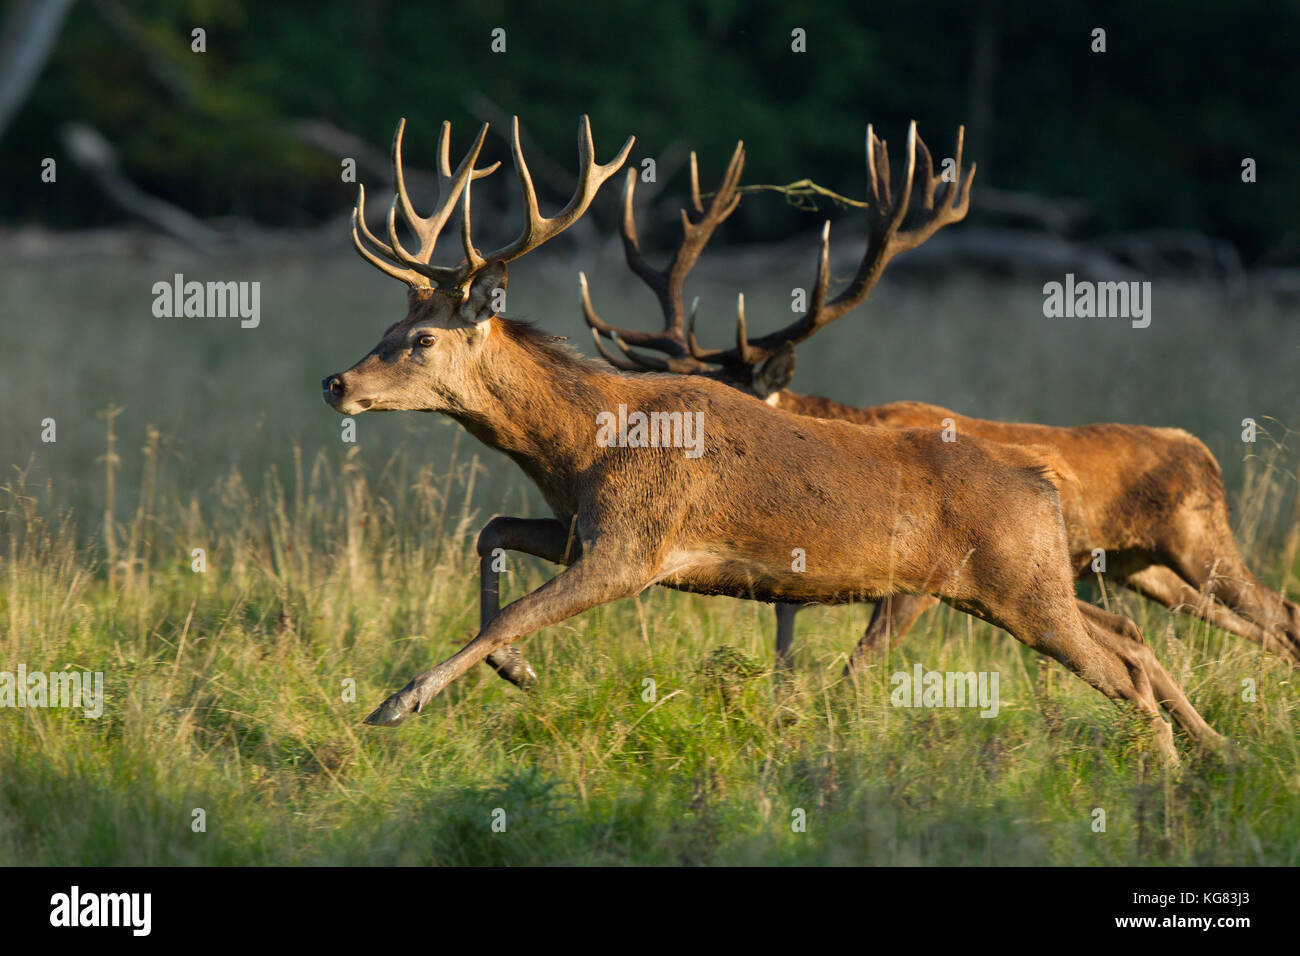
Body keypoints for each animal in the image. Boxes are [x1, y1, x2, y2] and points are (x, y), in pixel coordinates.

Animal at [321, 114, 1225, 766]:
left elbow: (510, 614)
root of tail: (1040, 484)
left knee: (1123, 673)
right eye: (385, 327)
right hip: (1013, 586)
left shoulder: (636, 544)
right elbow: (491, 532)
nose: (337, 383)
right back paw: (1206, 755)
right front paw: (515, 674)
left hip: (1016, 587)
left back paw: (1167, 774)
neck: (579, 448)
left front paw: (400, 702)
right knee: (1131, 643)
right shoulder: (584, 525)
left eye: (421, 340)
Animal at [579, 122, 1300, 673]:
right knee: (1261, 622)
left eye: (731, 400)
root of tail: (1203, 452)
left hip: (1202, 541)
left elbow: (858, 663)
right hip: (1146, 570)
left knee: (1281, 615)